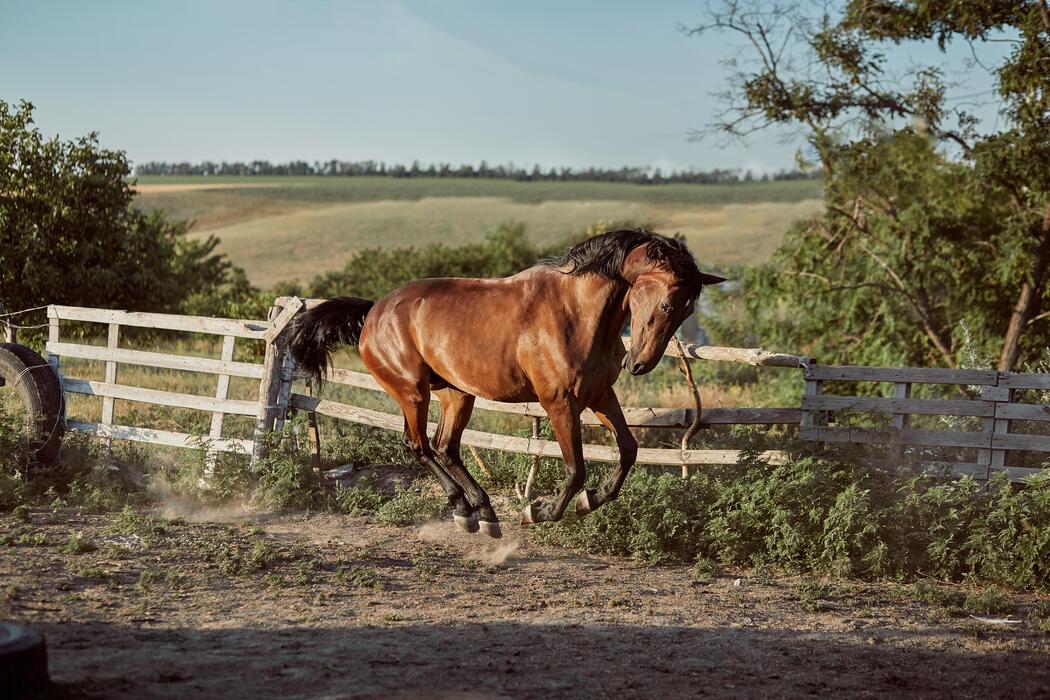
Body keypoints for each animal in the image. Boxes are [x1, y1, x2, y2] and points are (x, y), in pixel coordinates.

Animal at [287, 228, 725, 539]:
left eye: (687, 310)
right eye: (667, 303)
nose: (639, 364)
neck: (576, 313)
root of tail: (375, 311)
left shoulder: (599, 395)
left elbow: (629, 450)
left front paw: (590, 502)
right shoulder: (559, 403)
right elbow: (576, 469)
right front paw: (540, 511)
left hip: (457, 394)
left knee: (446, 448)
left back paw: (482, 515)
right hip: (412, 393)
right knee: (419, 445)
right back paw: (464, 510)